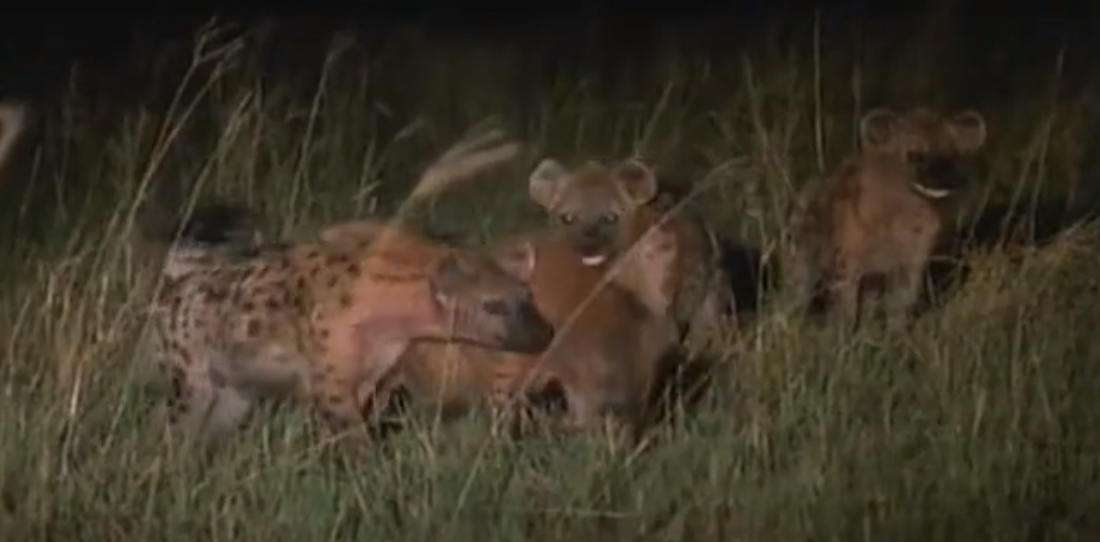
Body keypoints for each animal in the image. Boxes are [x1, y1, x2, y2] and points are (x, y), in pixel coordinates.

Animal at [784, 106, 988, 330]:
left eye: (952, 155)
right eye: (914, 154)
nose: (941, 178)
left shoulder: (910, 260)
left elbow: (901, 300)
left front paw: (895, 335)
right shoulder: (846, 261)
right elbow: (845, 304)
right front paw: (842, 333)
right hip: (804, 252)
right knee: (800, 285)